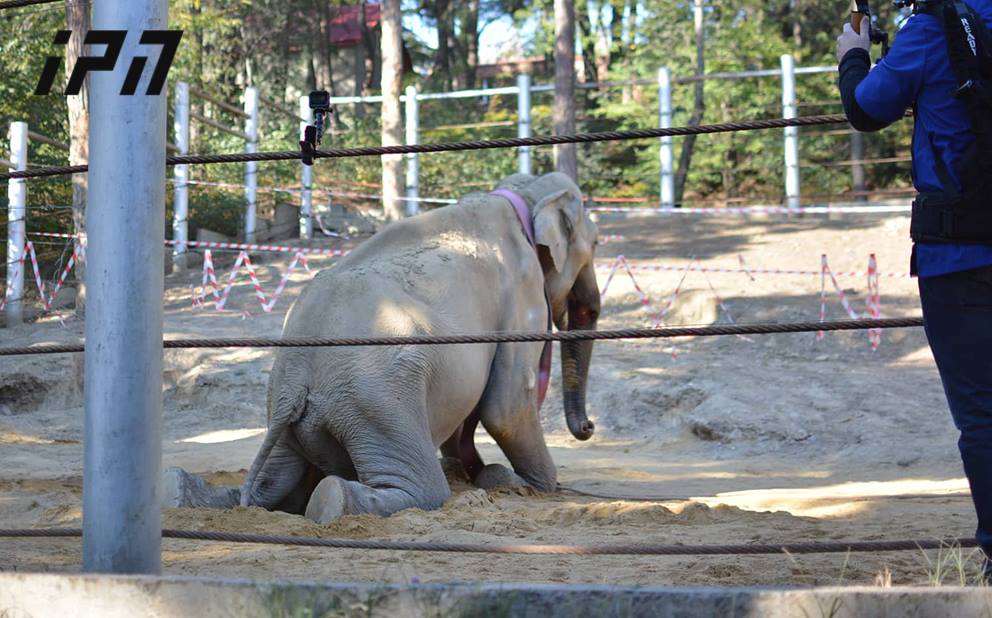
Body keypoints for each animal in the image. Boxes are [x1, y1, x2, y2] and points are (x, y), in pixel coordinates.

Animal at [162, 171, 601, 523]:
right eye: (595, 244)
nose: (589, 427)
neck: (515, 196)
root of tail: (300, 378)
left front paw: (474, 471)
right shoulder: (523, 296)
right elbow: (506, 406)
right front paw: (534, 484)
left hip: (297, 415)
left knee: (272, 489)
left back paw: (183, 490)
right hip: (378, 401)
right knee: (421, 488)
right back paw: (334, 500)